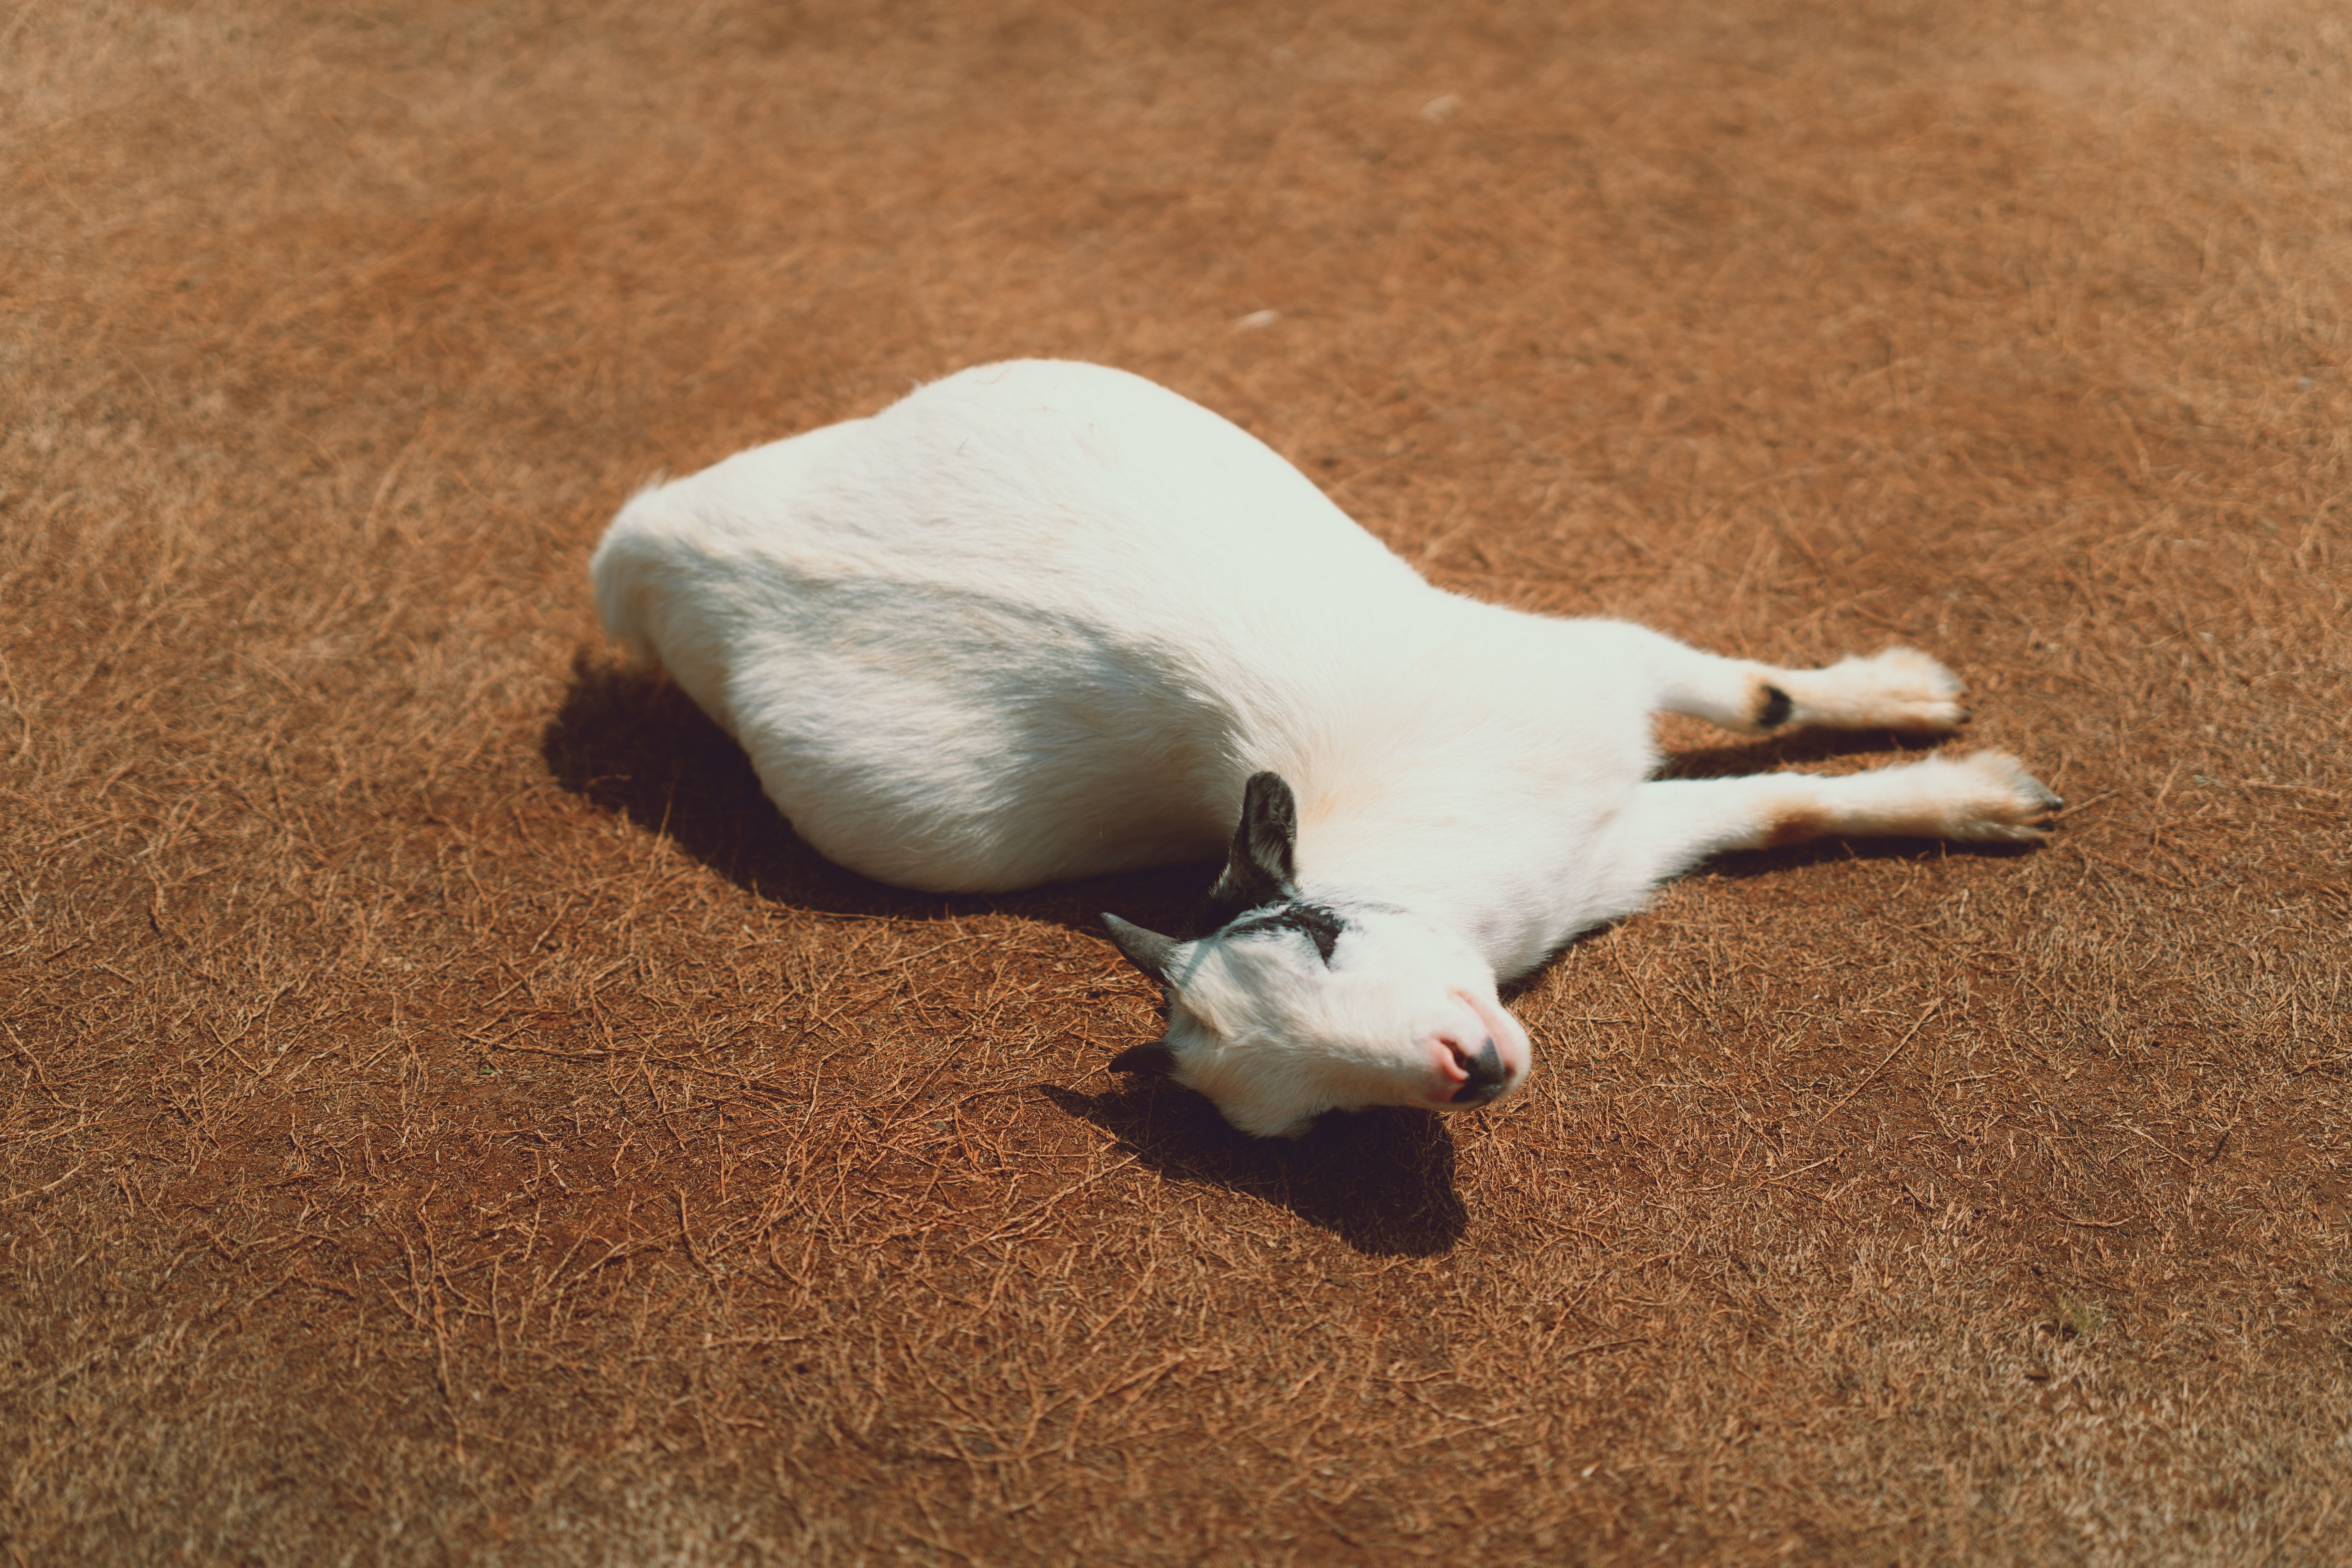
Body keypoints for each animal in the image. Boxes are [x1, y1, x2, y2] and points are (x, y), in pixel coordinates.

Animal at [590, 359, 2059, 1137]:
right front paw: (1984, 794)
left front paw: (1924, 704)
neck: (1426, 844)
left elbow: (1758, 706)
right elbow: (1780, 807)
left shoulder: (1596, 669)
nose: (1469, 1066)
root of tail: (661, 554)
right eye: (1324, 1110)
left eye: (1323, 930)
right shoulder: (1623, 845)